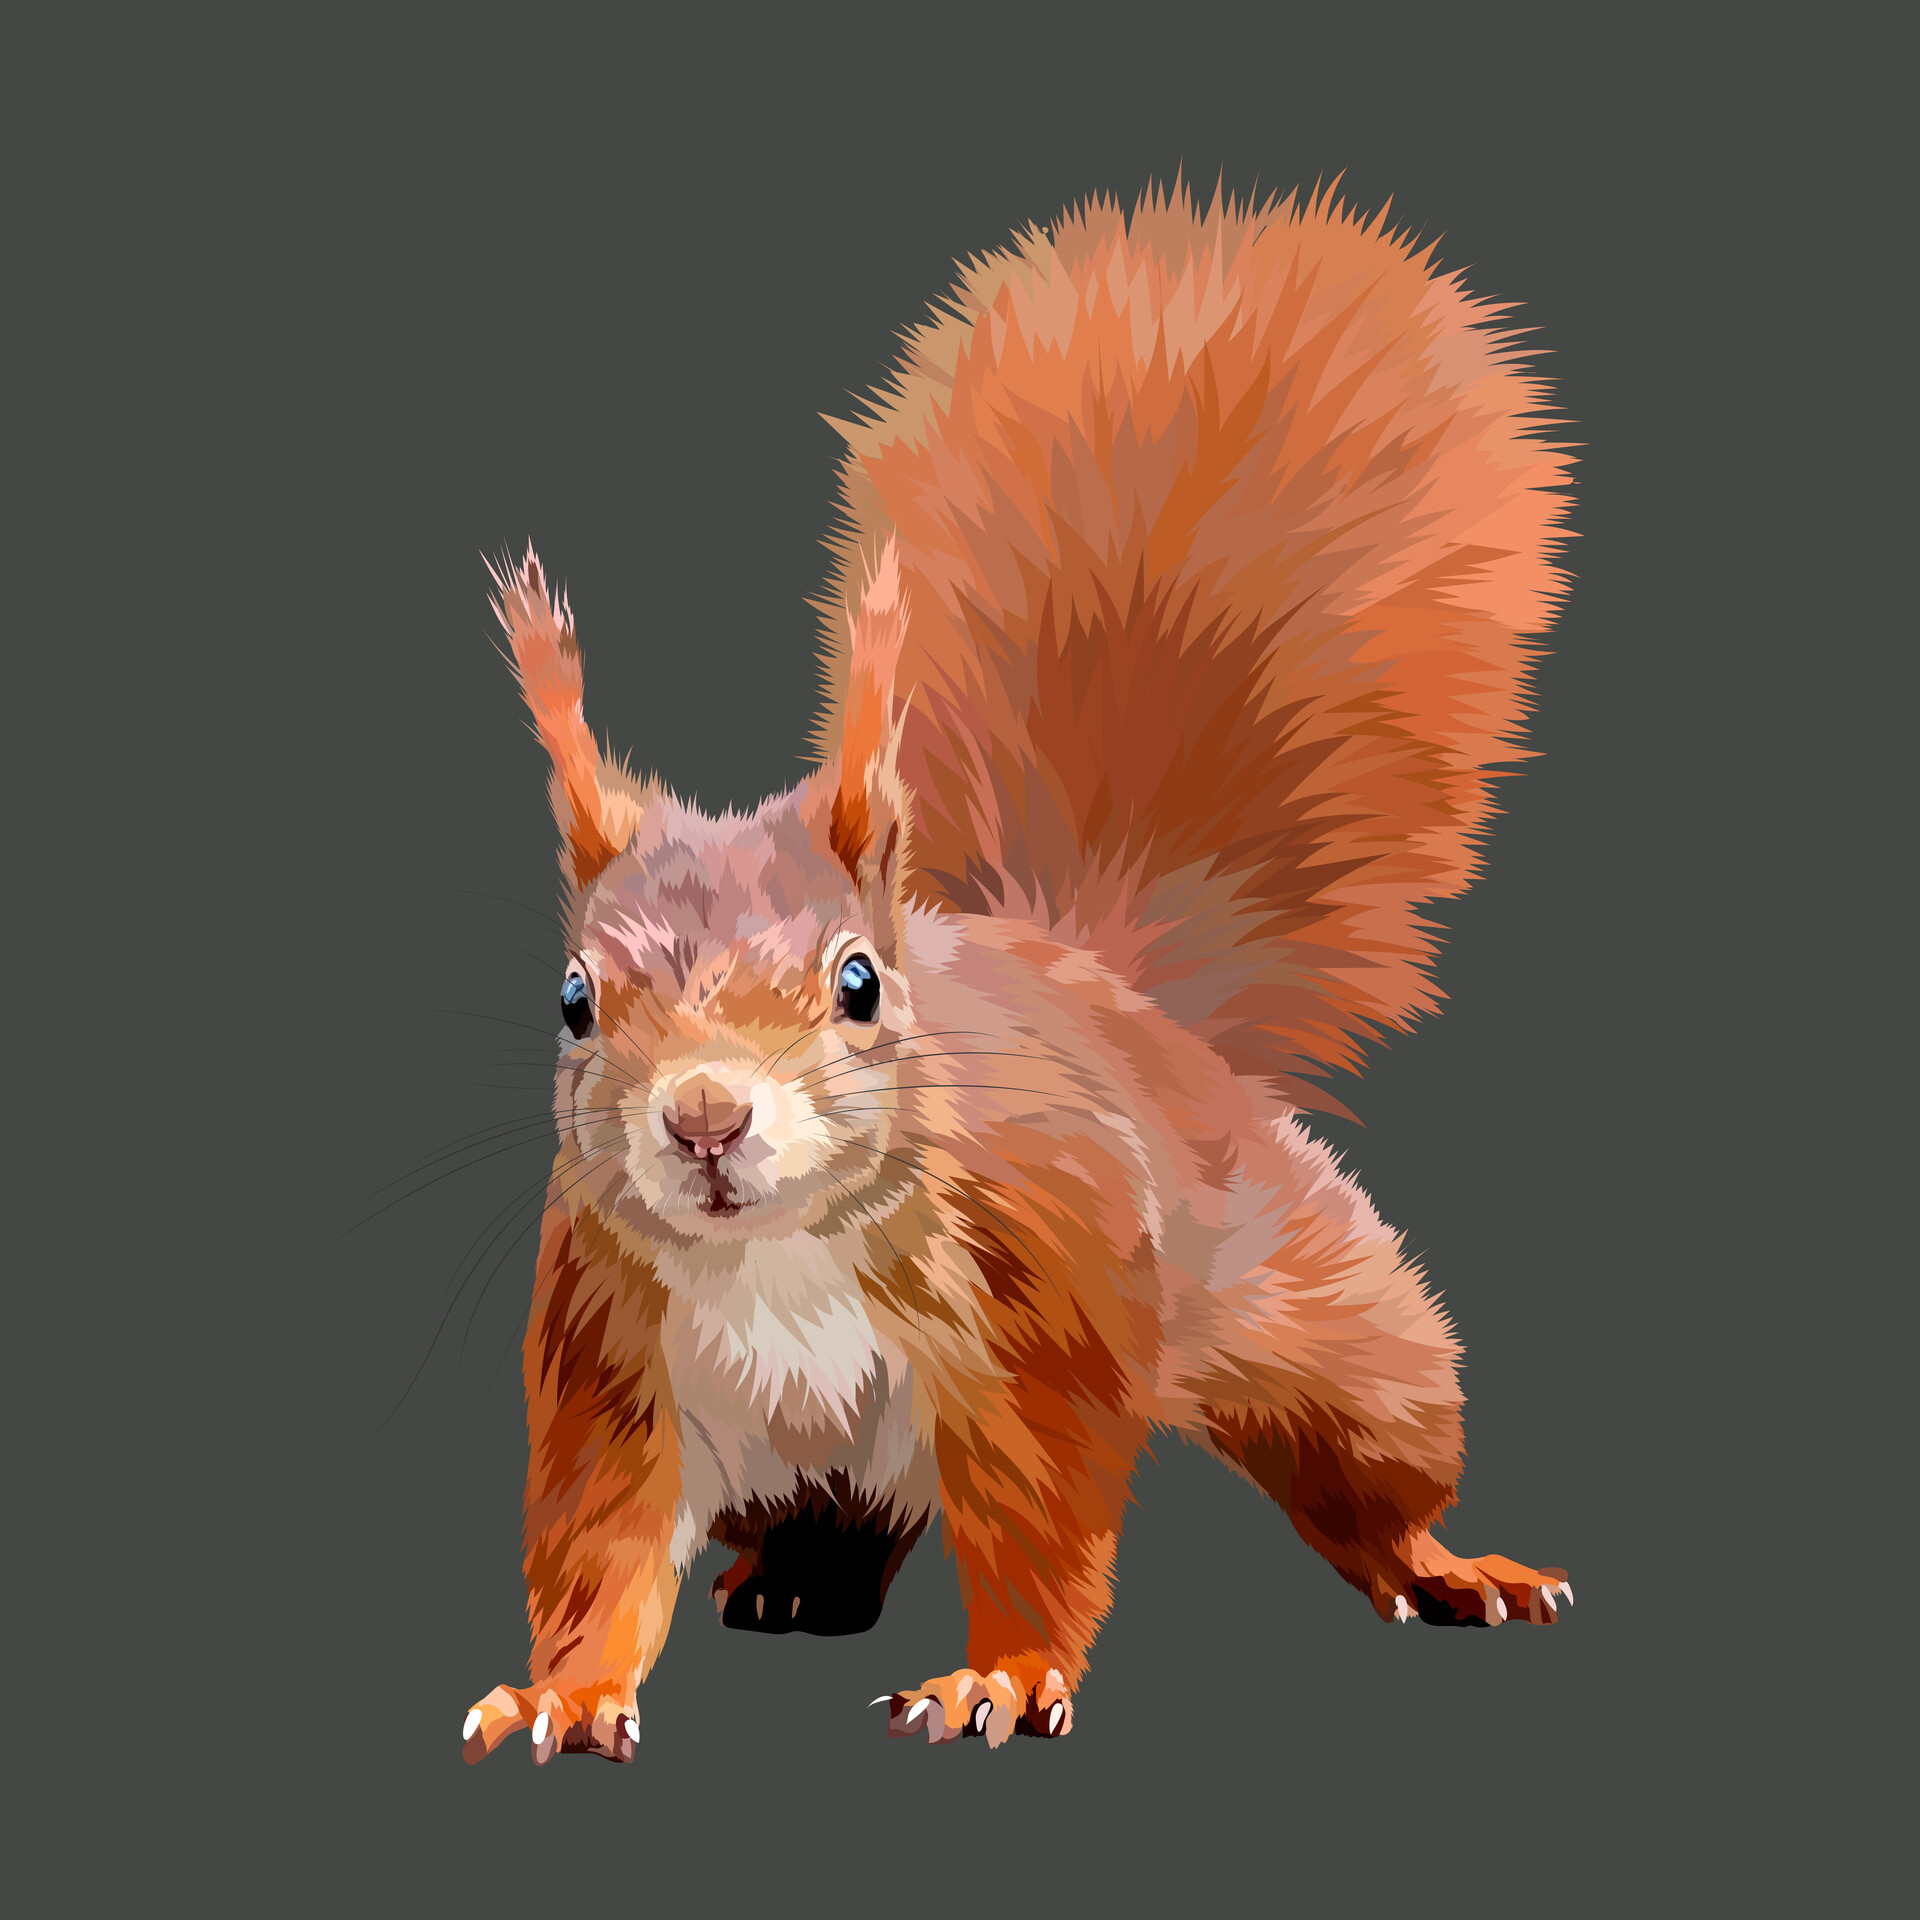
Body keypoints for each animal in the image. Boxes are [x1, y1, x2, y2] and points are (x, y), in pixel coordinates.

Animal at [461, 183, 1574, 1765]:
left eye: (862, 983)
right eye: (571, 1001)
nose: (705, 1119)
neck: (775, 1251)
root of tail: (1103, 979)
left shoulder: (1044, 1298)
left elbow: (1043, 1515)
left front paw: (999, 1675)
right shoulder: (609, 1350)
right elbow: (601, 1546)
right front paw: (560, 1692)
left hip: (1333, 1317)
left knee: (1369, 1456)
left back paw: (1446, 1563)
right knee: (830, 1521)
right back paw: (792, 1580)